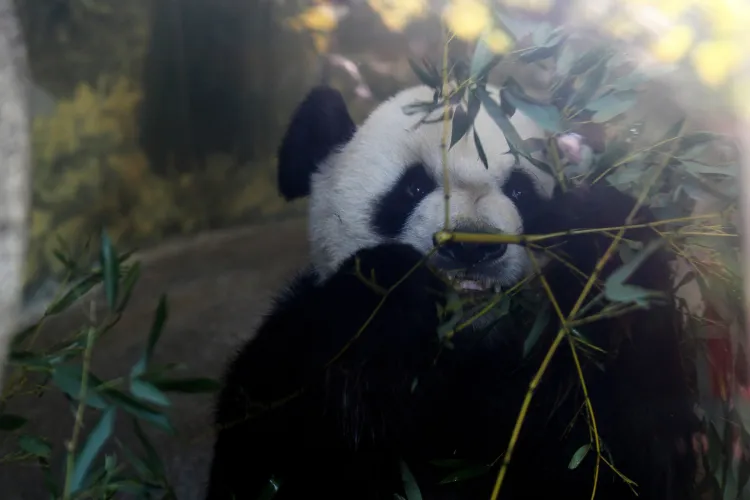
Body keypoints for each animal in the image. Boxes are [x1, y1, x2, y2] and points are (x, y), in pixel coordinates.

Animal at [205, 83, 698, 500]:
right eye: (413, 186)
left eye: (521, 191)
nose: (471, 248)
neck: (466, 351)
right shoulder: (295, 351)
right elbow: (270, 448)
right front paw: (390, 285)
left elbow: (627, 451)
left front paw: (602, 237)